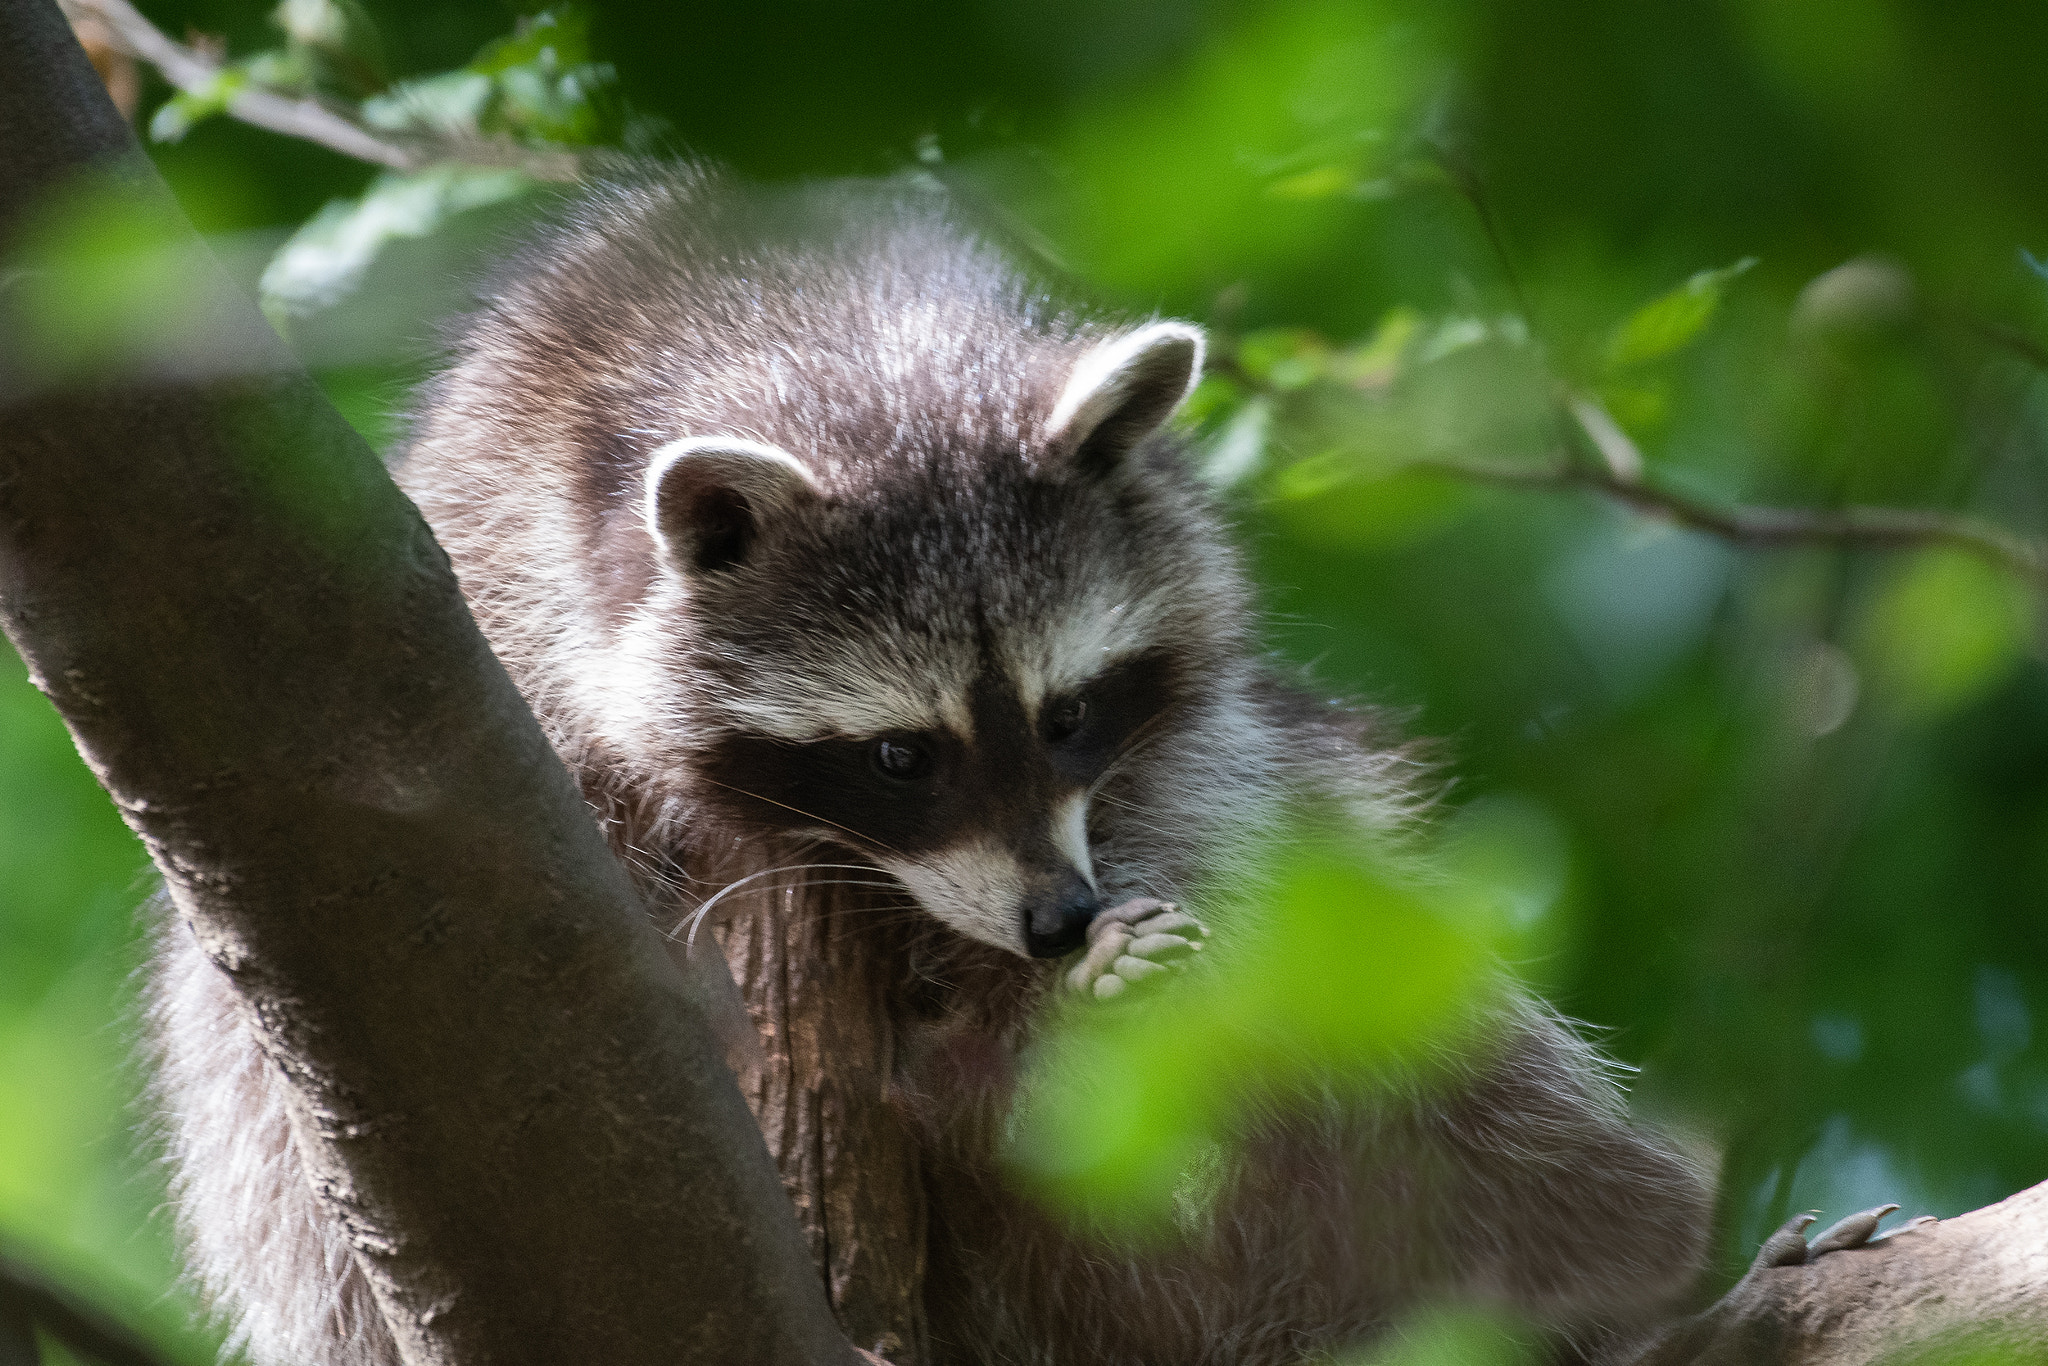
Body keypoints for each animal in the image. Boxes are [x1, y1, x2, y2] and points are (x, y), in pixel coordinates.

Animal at [147, 163, 1717, 1366]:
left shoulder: (1183, 747)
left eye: (1070, 713)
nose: (1059, 923)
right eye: (902, 753)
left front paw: (1069, 984)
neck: (836, 351)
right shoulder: (495, 602)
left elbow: (1234, 828)